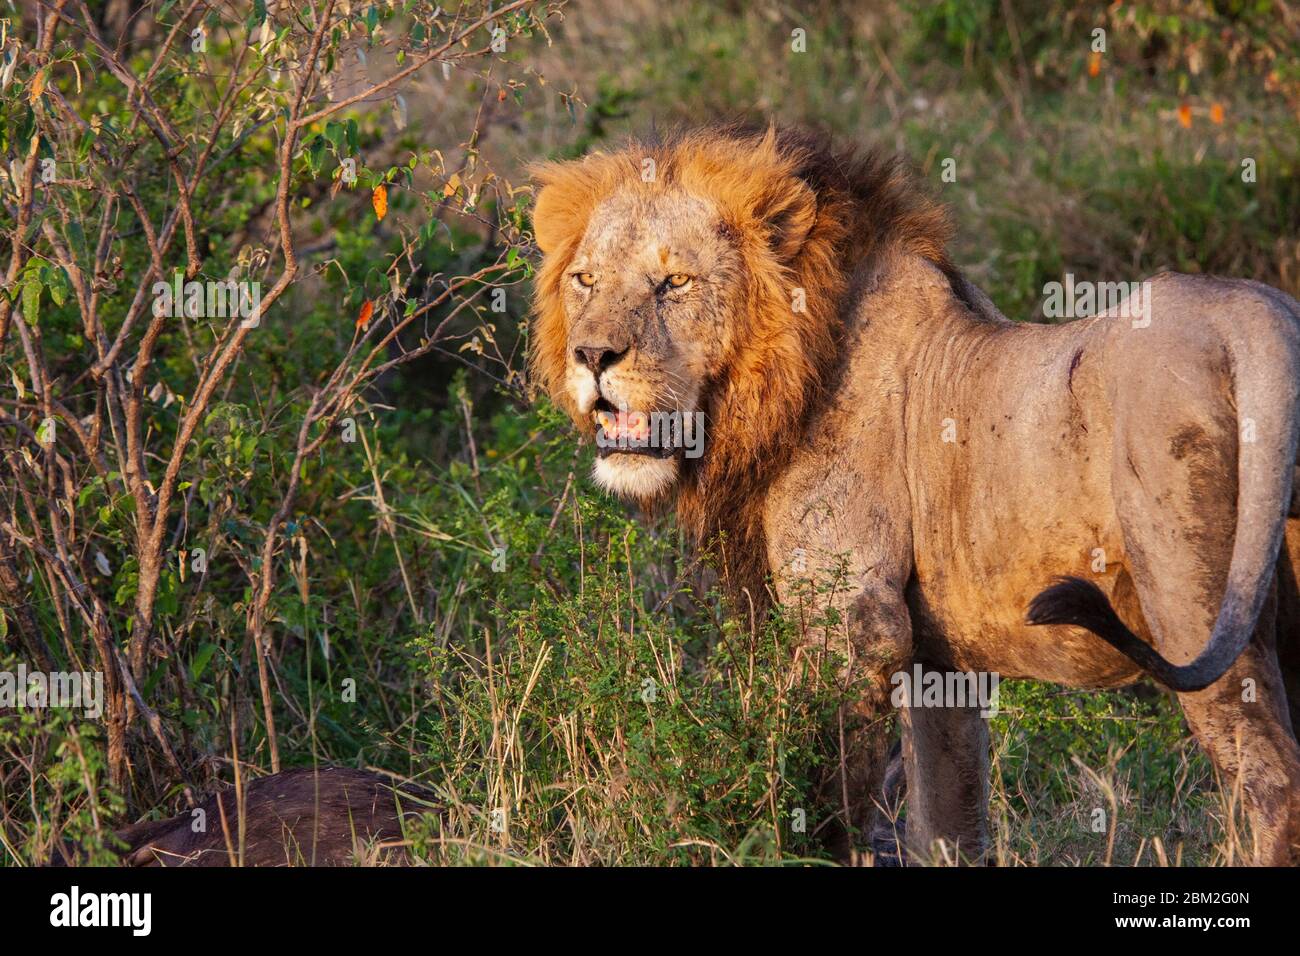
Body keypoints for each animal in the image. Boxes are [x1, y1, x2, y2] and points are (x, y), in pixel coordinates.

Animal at [529, 124, 1300, 865]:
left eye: (675, 282)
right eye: (585, 280)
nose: (592, 355)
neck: (776, 384)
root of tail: (1255, 316)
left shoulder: (858, 625)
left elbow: (828, 798)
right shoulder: (940, 664)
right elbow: (949, 822)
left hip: (1189, 599)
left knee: (1274, 781)